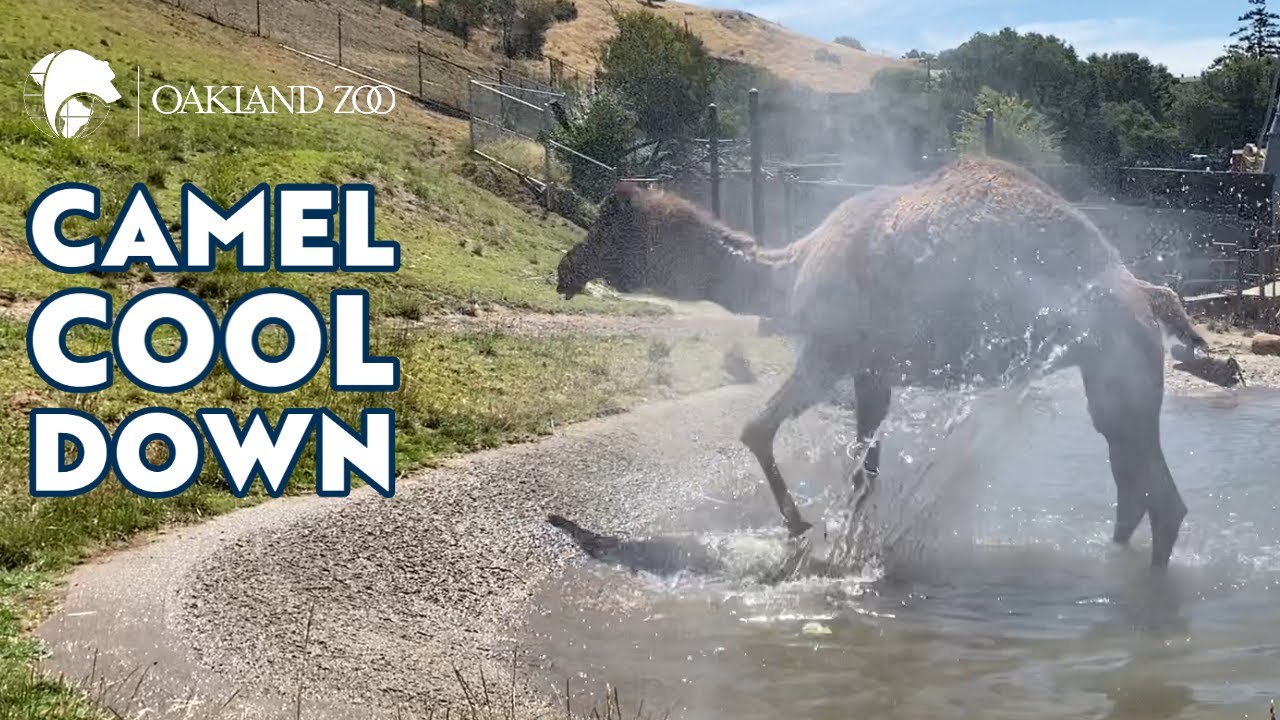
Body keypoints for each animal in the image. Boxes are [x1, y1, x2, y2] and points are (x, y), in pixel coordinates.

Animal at [556, 156, 1240, 568]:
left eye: (606, 224)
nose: (564, 269)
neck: (788, 273)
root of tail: (1143, 288)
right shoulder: (872, 374)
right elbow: (866, 474)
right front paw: (848, 547)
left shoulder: (831, 352)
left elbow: (756, 429)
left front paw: (802, 528)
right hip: (1109, 375)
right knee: (1132, 485)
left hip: (1121, 363)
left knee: (1160, 499)